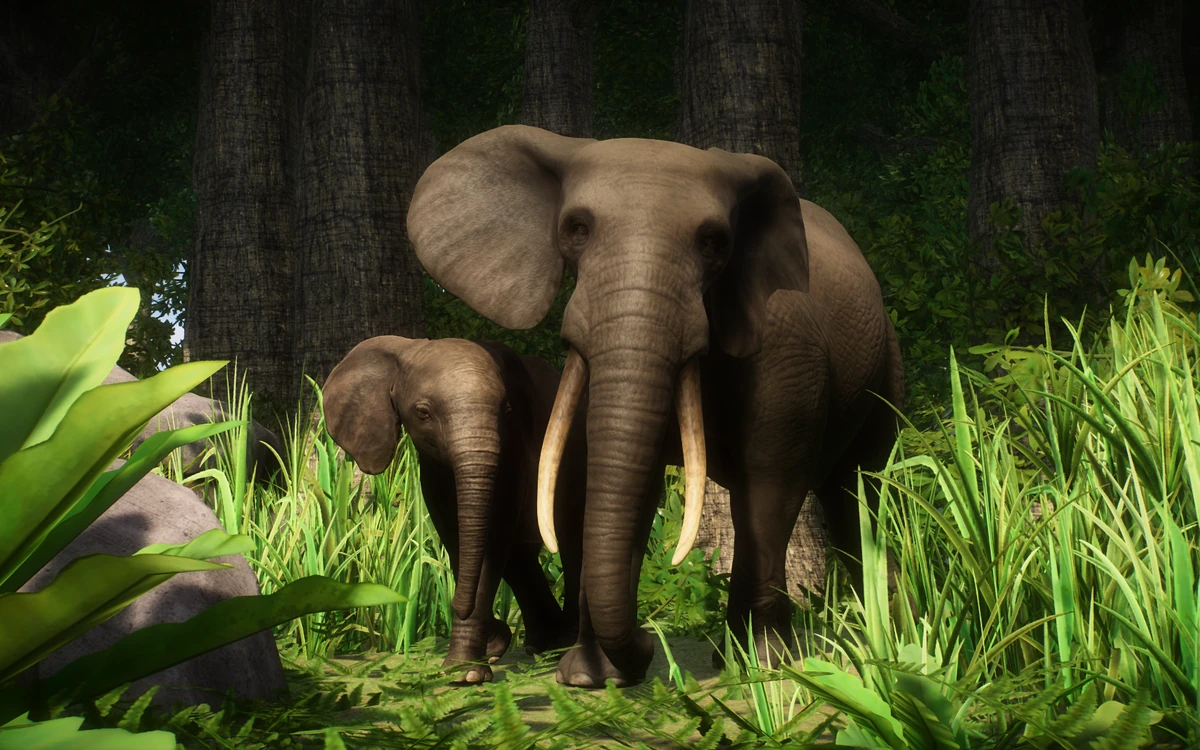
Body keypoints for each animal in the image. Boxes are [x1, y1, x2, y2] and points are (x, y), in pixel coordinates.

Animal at [321, 336, 586, 684]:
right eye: (423, 412)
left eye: (507, 410)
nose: (458, 605)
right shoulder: (432, 467)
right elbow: (454, 532)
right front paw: (484, 652)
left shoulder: (513, 449)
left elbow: (492, 536)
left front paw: (467, 673)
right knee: (521, 558)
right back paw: (543, 644)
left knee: (568, 543)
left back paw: (563, 645)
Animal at [406, 125, 905, 688]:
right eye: (576, 229)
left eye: (713, 242)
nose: (648, 641)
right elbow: (628, 483)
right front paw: (589, 679)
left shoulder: (786, 344)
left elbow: (770, 483)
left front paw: (764, 669)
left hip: (887, 362)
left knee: (858, 488)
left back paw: (876, 636)